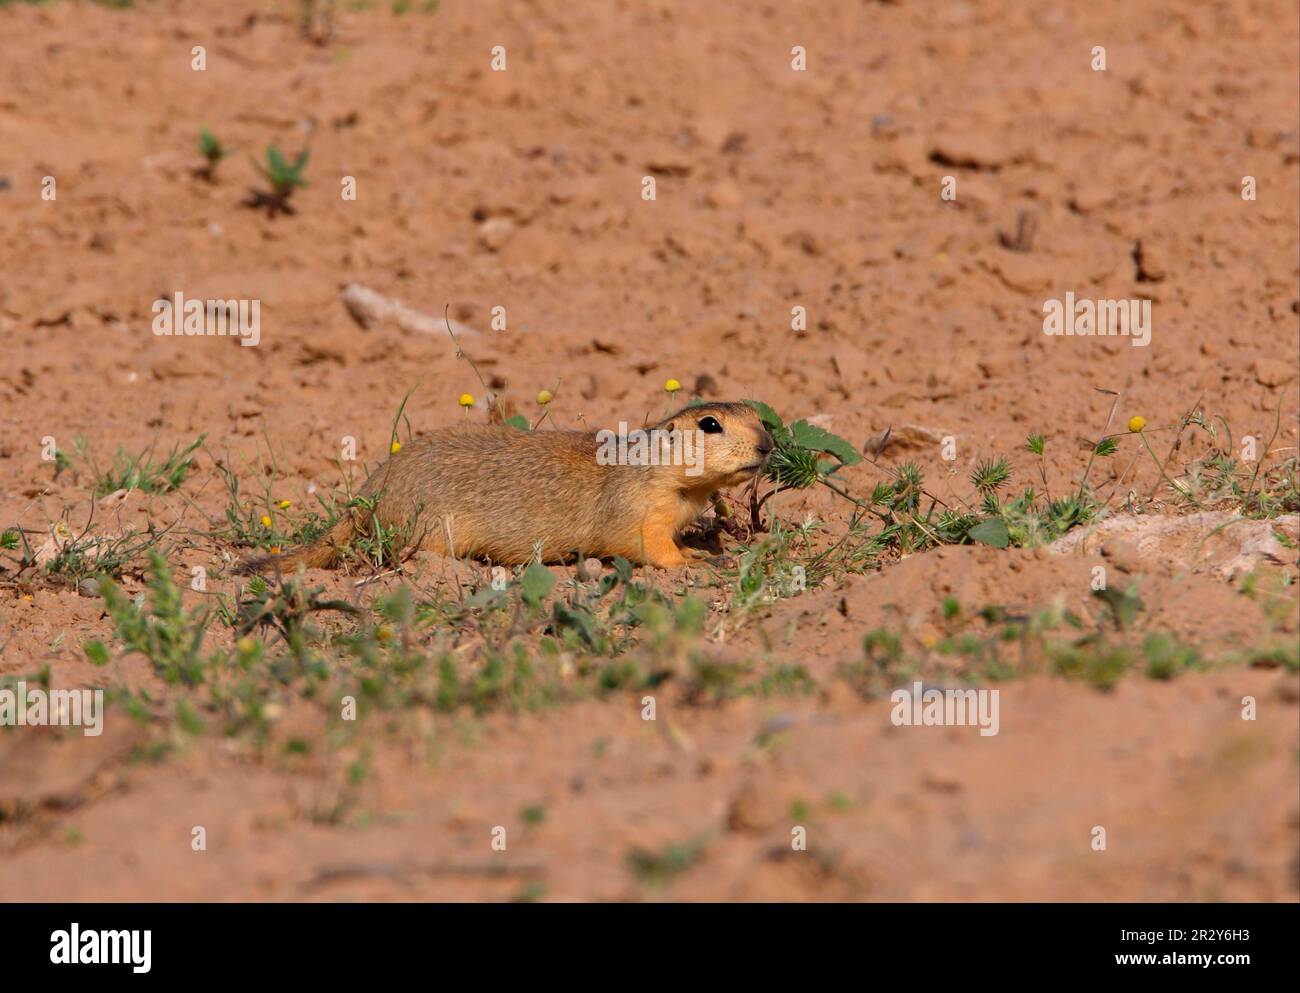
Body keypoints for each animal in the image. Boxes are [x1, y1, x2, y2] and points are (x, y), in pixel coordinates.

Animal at [239, 401, 774, 572]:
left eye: (756, 414)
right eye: (710, 425)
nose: (769, 444)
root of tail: (368, 493)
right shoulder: (640, 508)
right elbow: (648, 545)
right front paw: (696, 559)